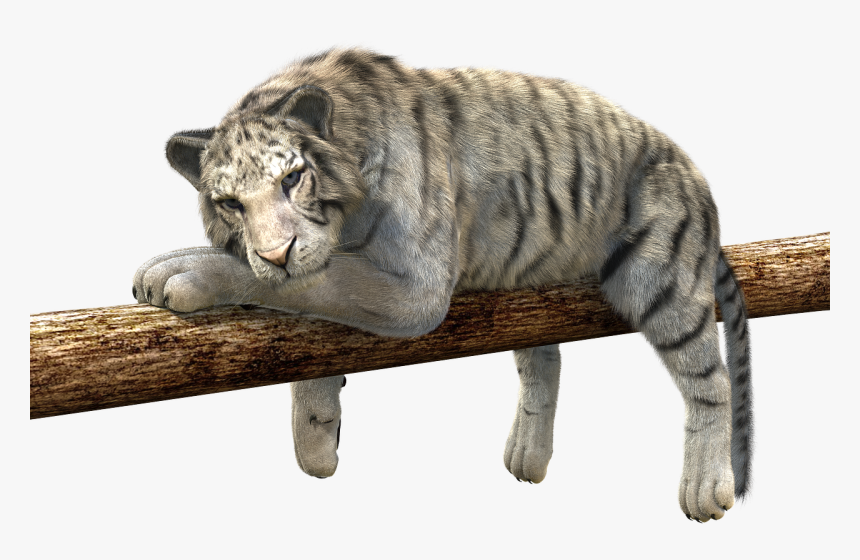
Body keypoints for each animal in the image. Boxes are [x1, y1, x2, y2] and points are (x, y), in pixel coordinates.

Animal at [133, 48, 753, 522]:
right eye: (230, 203)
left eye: (291, 178)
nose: (274, 252)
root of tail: (694, 174)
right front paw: (317, 439)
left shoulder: (414, 290)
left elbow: (308, 283)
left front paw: (180, 271)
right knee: (544, 361)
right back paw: (527, 458)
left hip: (661, 279)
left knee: (710, 378)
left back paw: (705, 490)